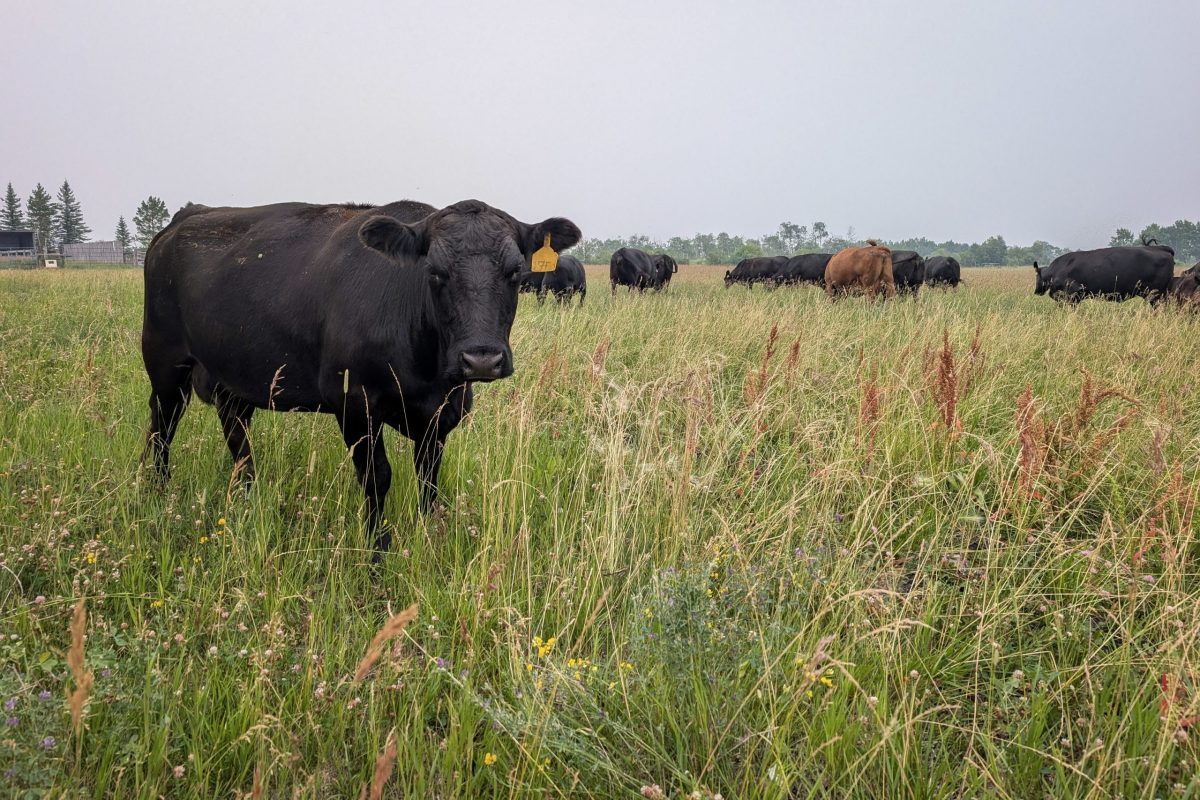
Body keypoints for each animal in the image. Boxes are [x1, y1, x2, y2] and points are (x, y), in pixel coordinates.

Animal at [141, 199, 581, 558]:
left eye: (515, 271)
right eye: (435, 272)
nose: (482, 359)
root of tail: (188, 216)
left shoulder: (442, 414)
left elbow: (429, 478)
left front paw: (429, 537)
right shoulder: (355, 405)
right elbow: (377, 477)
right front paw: (376, 550)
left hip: (233, 379)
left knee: (237, 437)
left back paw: (249, 496)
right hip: (165, 364)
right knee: (163, 426)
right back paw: (158, 493)